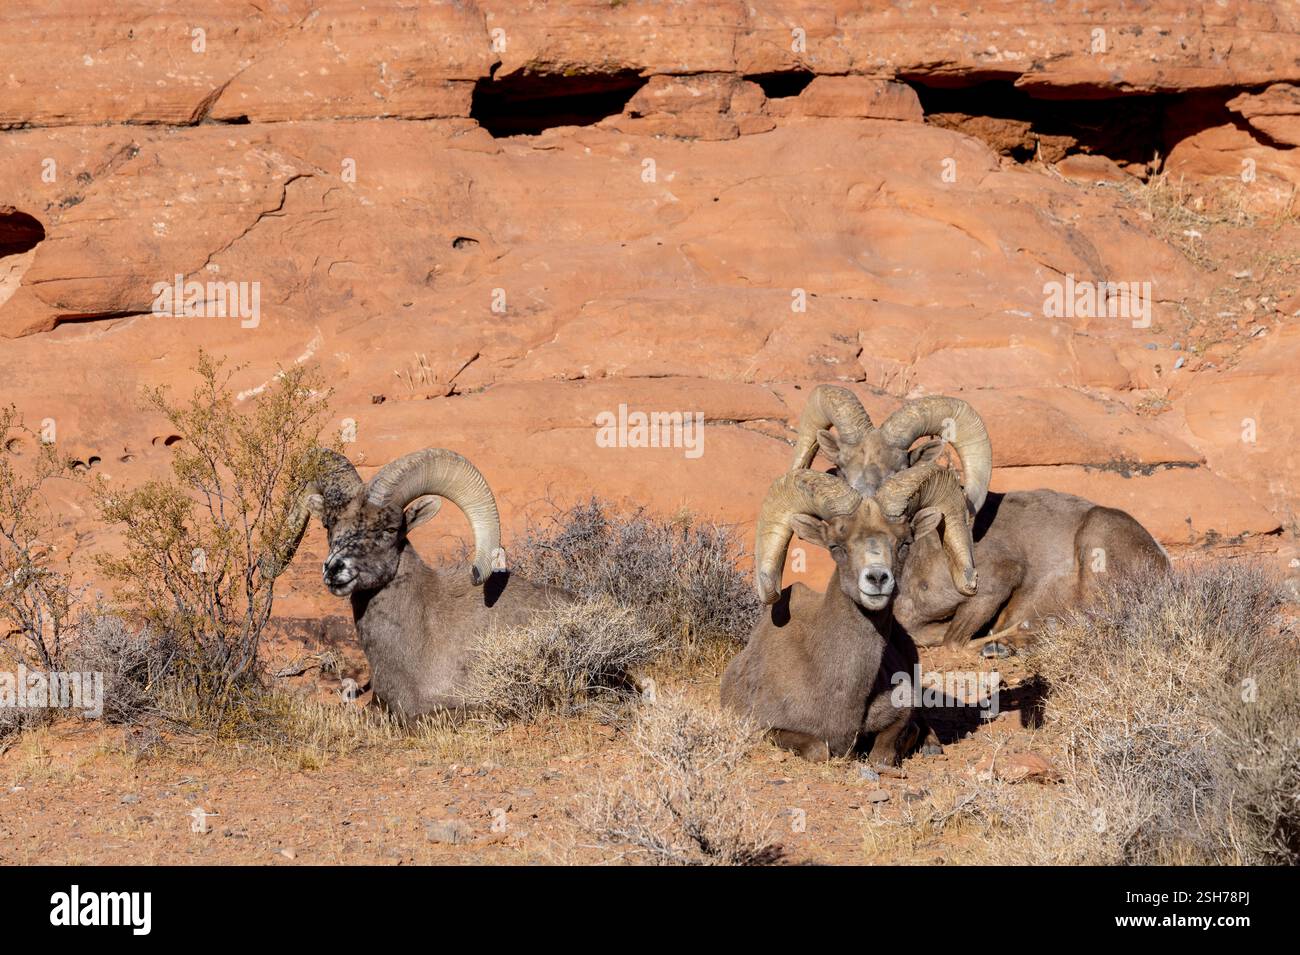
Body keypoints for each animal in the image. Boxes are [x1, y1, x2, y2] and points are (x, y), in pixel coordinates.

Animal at [720, 462, 976, 765]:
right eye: (836, 547)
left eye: (904, 543)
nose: (877, 578)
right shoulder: (768, 728)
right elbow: (819, 749)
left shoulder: (900, 713)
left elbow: (883, 754)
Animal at [792, 385, 1169, 655]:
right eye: (843, 467)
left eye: (898, 467)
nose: (865, 509)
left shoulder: (997, 582)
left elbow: (950, 640)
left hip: (1096, 537)